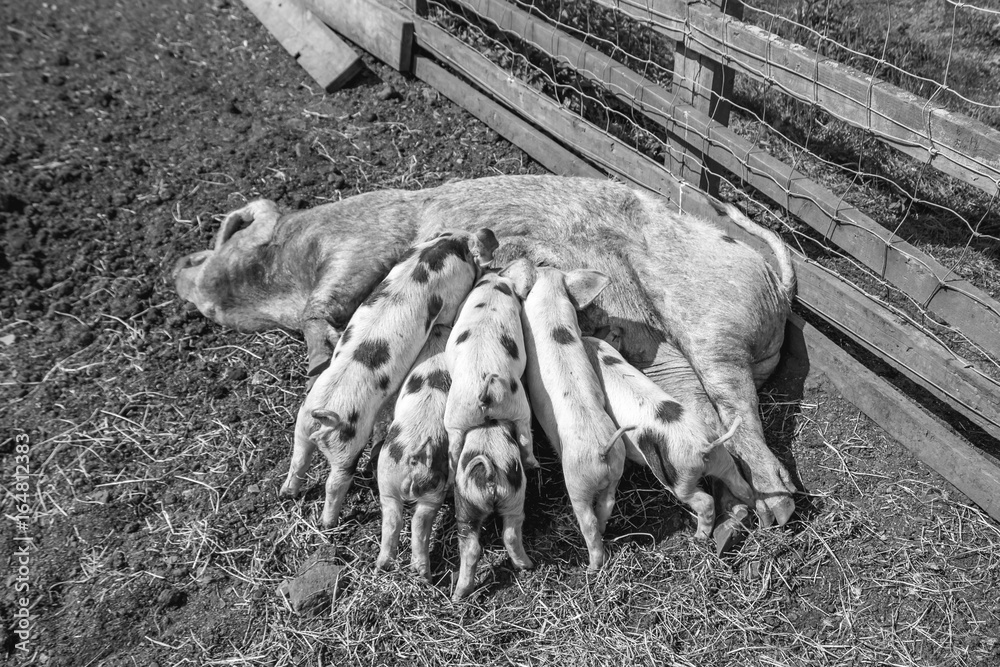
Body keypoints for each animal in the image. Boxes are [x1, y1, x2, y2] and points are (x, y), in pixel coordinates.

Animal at [284, 229, 498, 528]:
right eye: (471, 255)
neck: (430, 257)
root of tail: (322, 415)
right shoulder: (450, 295)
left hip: (301, 427)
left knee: (297, 459)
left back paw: (287, 493)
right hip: (346, 447)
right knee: (335, 482)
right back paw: (328, 523)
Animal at [375, 324, 452, 580]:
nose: (440, 325)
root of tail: (415, 457)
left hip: (387, 479)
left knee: (394, 521)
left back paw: (385, 566)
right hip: (432, 488)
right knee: (418, 522)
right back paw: (423, 575)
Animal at [443, 268, 537, 480]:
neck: (493, 285)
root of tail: (484, 393)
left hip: (457, 417)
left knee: (454, 450)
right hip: (517, 405)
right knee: (525, 437)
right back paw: (534, 465)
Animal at [504, 259, 632, 570]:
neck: (550, 295)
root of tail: (602, 449)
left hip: (577, 482)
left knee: (588, 523)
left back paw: (593, 567)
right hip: (616, 471)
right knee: (607, 505)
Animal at [583, 335, 756, 538]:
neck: (601, 359)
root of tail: (703, 446)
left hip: (680, 478)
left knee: (705, 501)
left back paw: (699, 537)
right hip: (721, 458)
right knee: (739, 483)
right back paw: (754, 508)